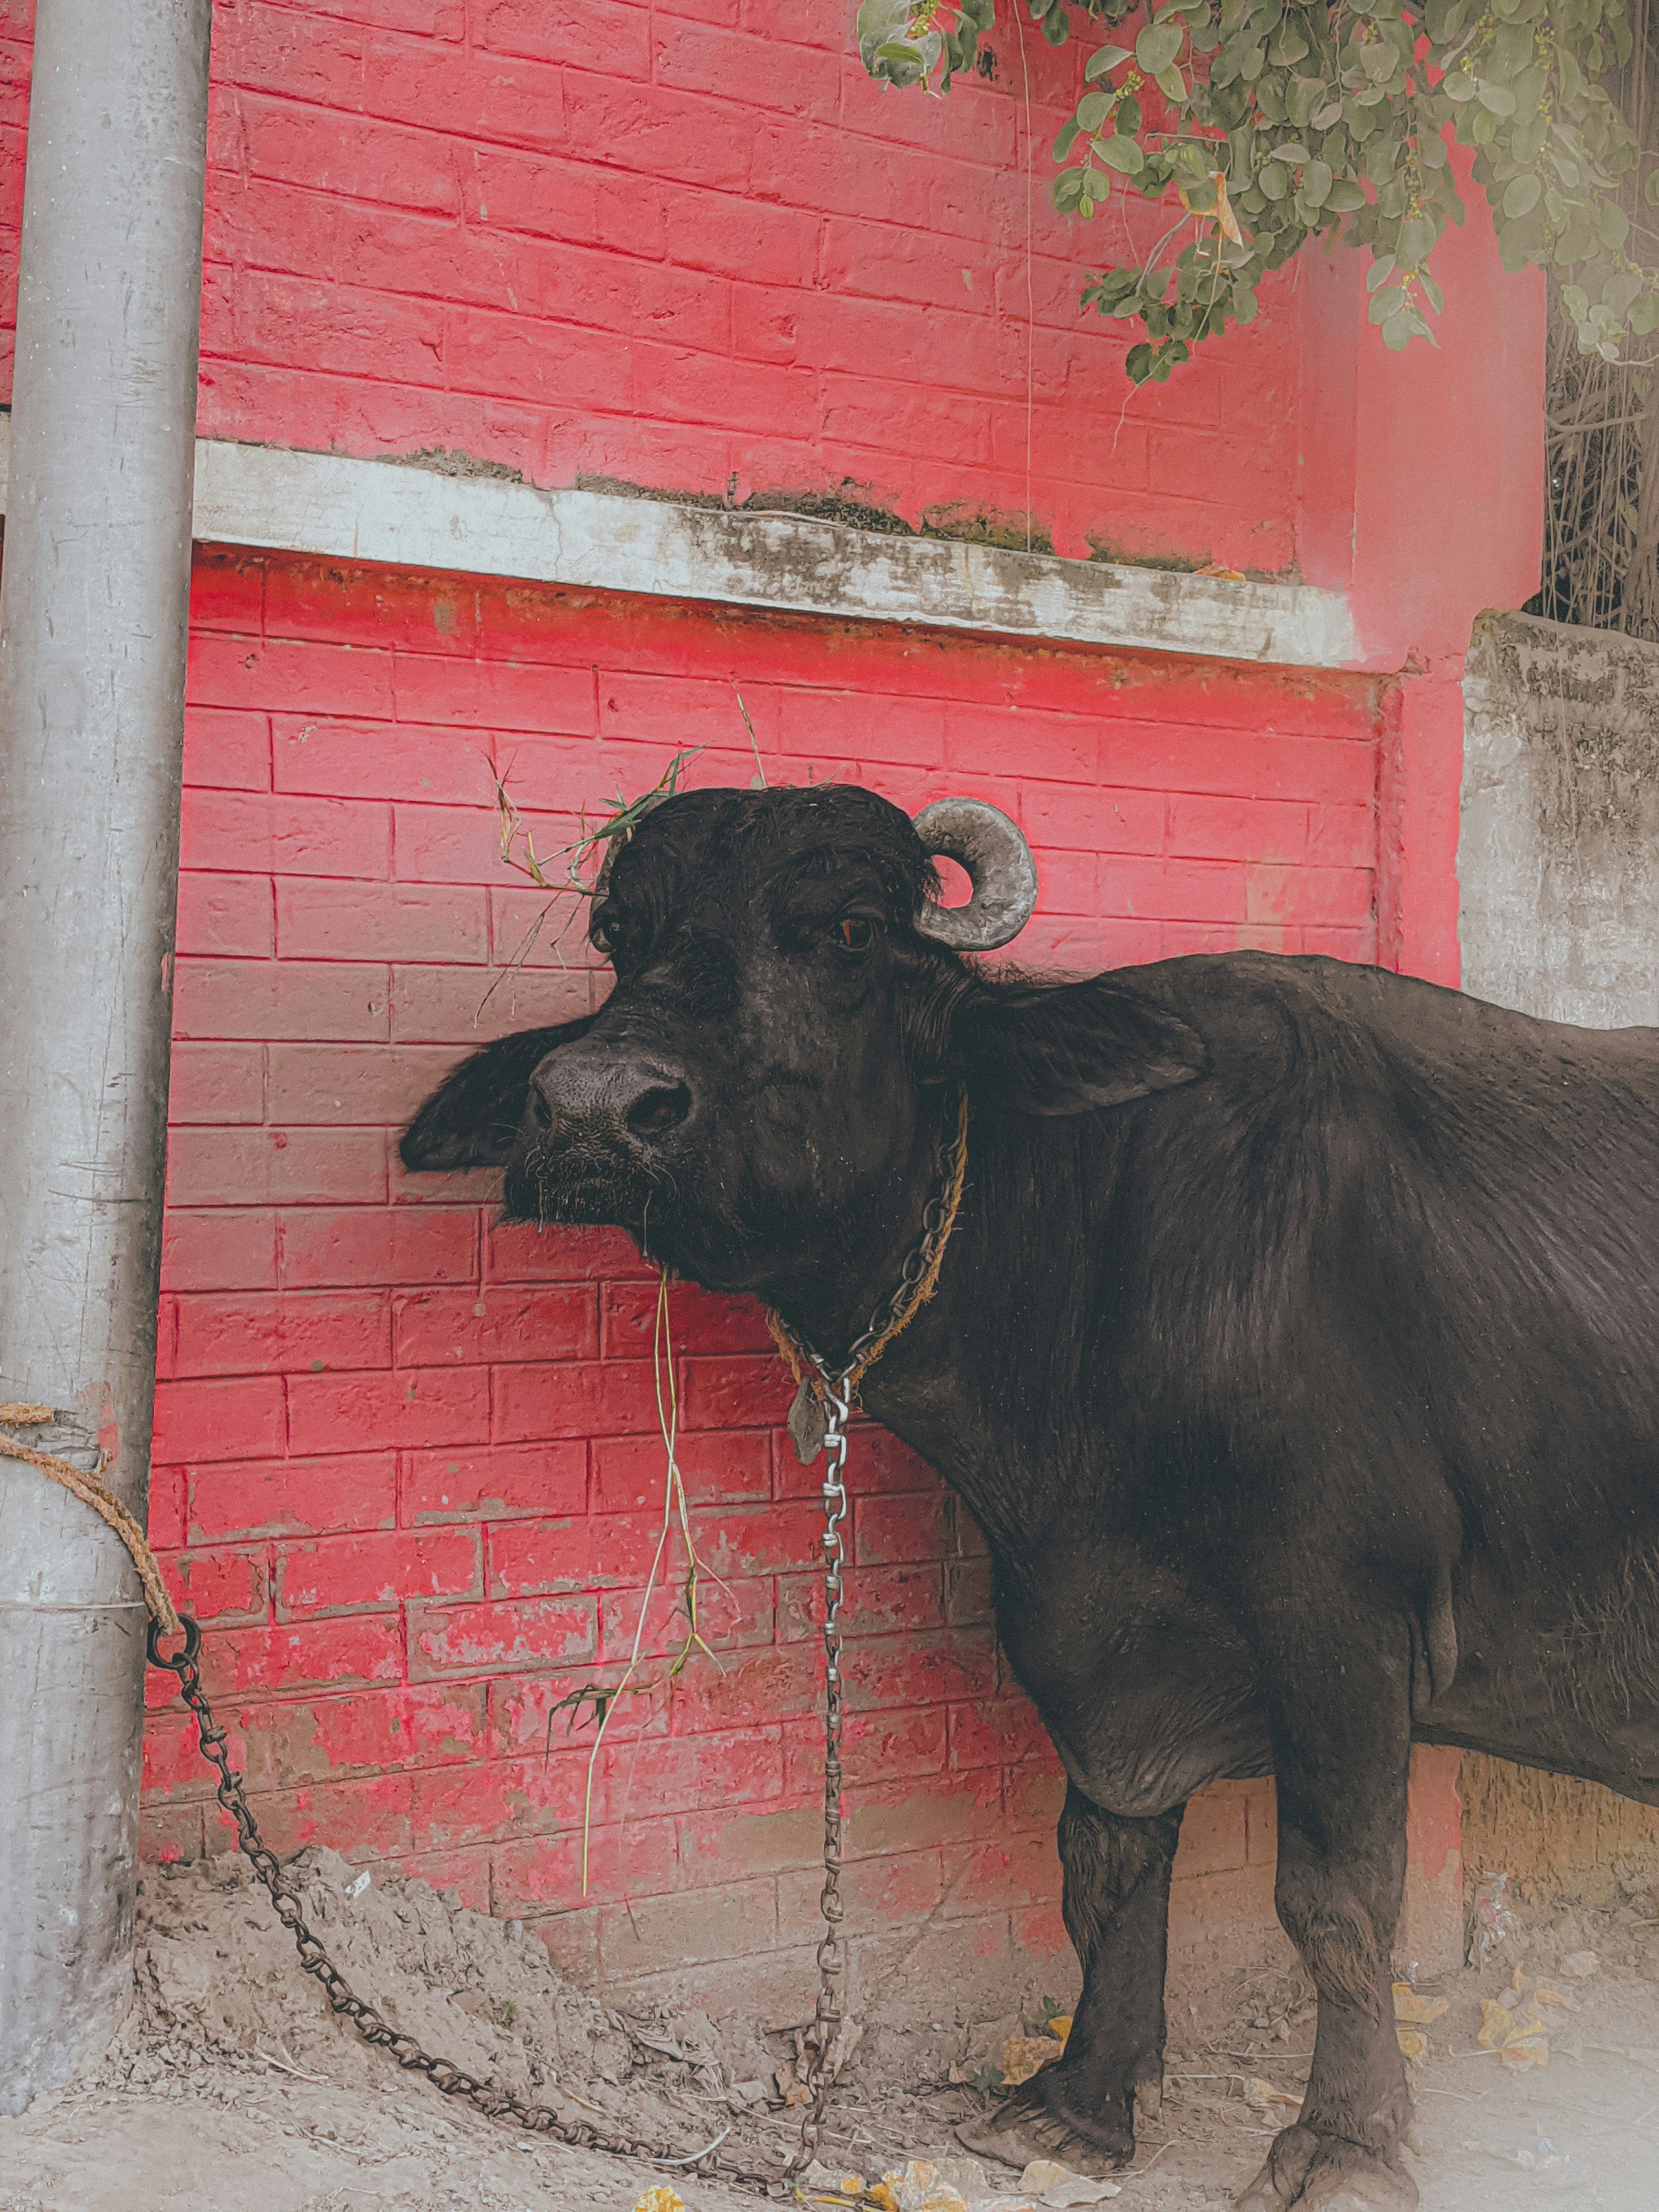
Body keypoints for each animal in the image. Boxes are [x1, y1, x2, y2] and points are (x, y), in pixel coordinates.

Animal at [401, 783, 1659, 2212]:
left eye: (847, 929)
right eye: (622, 933)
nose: (597, 1107)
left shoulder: (1343, 1615)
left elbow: (1337, 1898)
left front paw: (1344, 2141)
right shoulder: (1084, 1623)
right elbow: (1105, 1859)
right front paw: (1080, 2098)